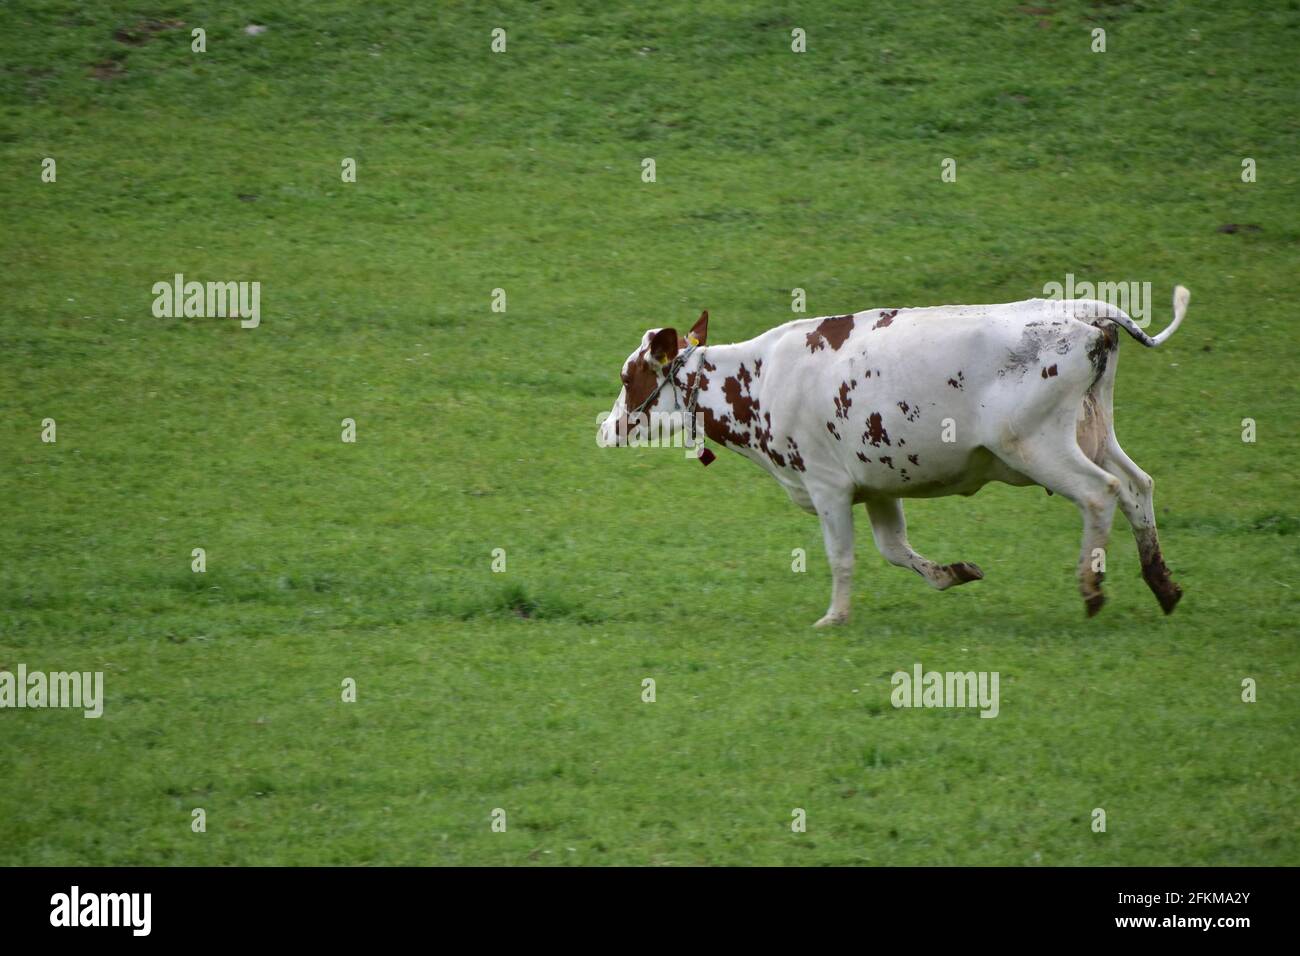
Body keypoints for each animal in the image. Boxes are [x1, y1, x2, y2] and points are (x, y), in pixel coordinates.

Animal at [598, 287, 1190, 627]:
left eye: (627, 378)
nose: (605, 429)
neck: (761, 377)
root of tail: (1081, 311)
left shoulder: (827, 484)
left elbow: (842, 556)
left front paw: (834, 618)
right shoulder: (878, 483)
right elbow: (894, 549)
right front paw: (953, 573)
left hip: (1037, 445)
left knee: (1101, 494)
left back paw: (1092, 589)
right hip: (1095, 435)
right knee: (1138, 487)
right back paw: (1163, 585)